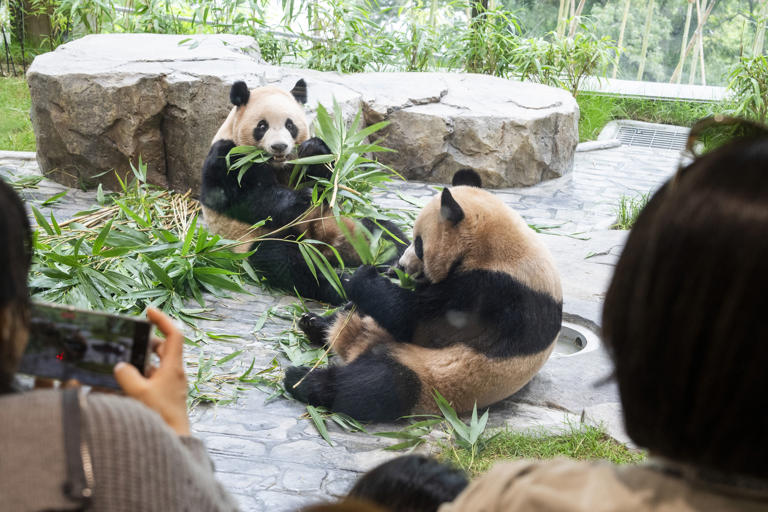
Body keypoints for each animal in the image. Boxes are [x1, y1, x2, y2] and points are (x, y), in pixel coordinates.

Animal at [200, 79, 408, 304]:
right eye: (262, 126)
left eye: (290, 125)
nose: (279, 146)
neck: (277, 164)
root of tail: (324, 245)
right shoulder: (229, 155)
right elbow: (247, 198)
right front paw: (304, 198)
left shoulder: (299, 166)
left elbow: (330, 185)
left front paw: (314, 151)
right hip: (257, 240)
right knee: (292, 264)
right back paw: (342, 285)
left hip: (343, 224)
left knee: (384, 233)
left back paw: (396, 264)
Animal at [283, 169, 563, 422]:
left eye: (418, 244)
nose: (402, 266)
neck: (497, 250)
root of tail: (356, 346)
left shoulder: (494, 292)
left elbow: (413, 319)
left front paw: (363, 277)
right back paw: (315, 324)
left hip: (436, 377)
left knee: (375, 385)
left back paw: (301, 379)